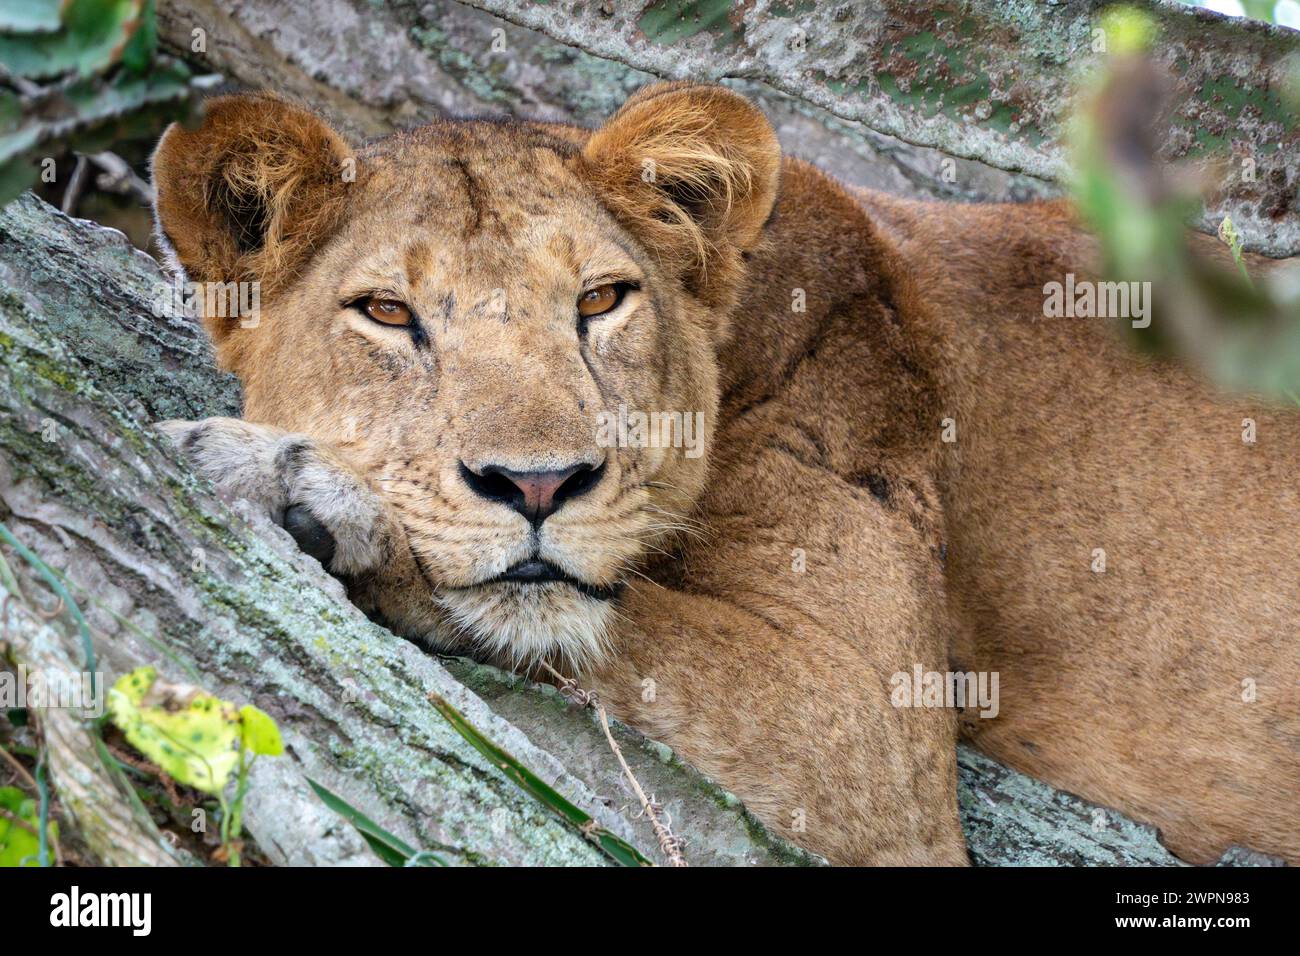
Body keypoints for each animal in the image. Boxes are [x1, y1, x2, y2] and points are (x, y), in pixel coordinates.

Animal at [150, 83, 1298, 866]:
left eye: (600, 299)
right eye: (388, 313)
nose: (539, 485)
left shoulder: (866, 721)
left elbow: (630, 627)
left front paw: (300, 485)